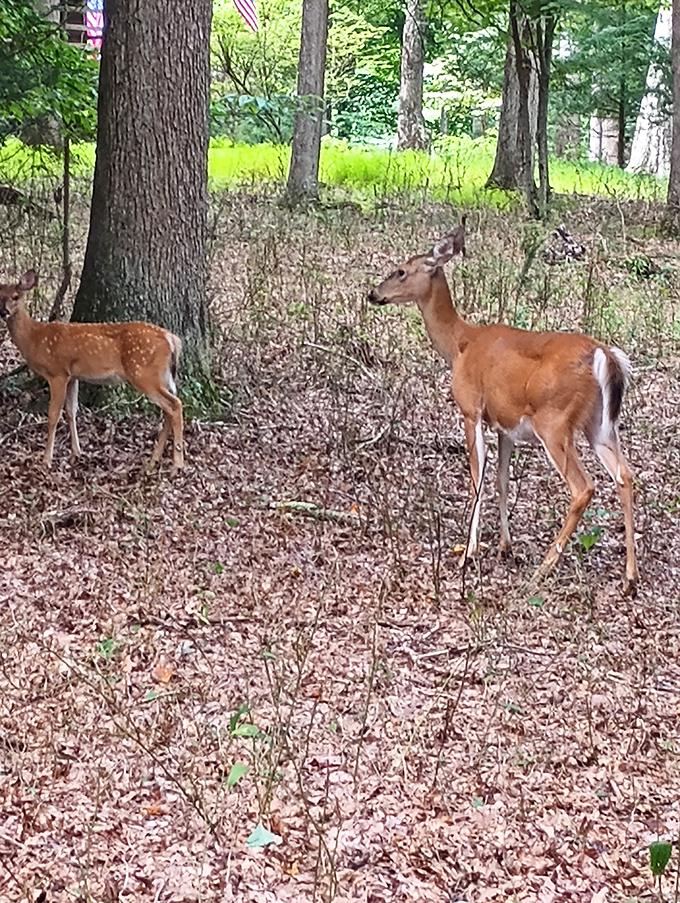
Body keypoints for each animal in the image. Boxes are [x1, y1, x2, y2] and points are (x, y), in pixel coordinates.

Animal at [0, 270, 184, 475]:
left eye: (16, 296)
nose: (4, 312)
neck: (35, 338)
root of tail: (172, 340)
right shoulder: (73, 376)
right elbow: (71, 411)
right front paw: (76, 453)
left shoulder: (57, 373)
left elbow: (53, 415)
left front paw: (46, 460)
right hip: (160, 375)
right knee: (169, 408)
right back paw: (153, 462)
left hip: (143, 372)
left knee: (175, 405)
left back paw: (177, 465)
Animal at [368, 224, 638, 596]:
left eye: (401, 271)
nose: (373, 293)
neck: (460, 344)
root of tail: (605, 355)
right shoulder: (505, 425)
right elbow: (501, 480)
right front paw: (504, 547)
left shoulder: (470, 409)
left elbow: (477, 479)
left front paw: (469, 553)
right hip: (599, 424)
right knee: (625, 475)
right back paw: (630, 578)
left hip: (554, 421)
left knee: (583, 487)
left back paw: (544, 569)